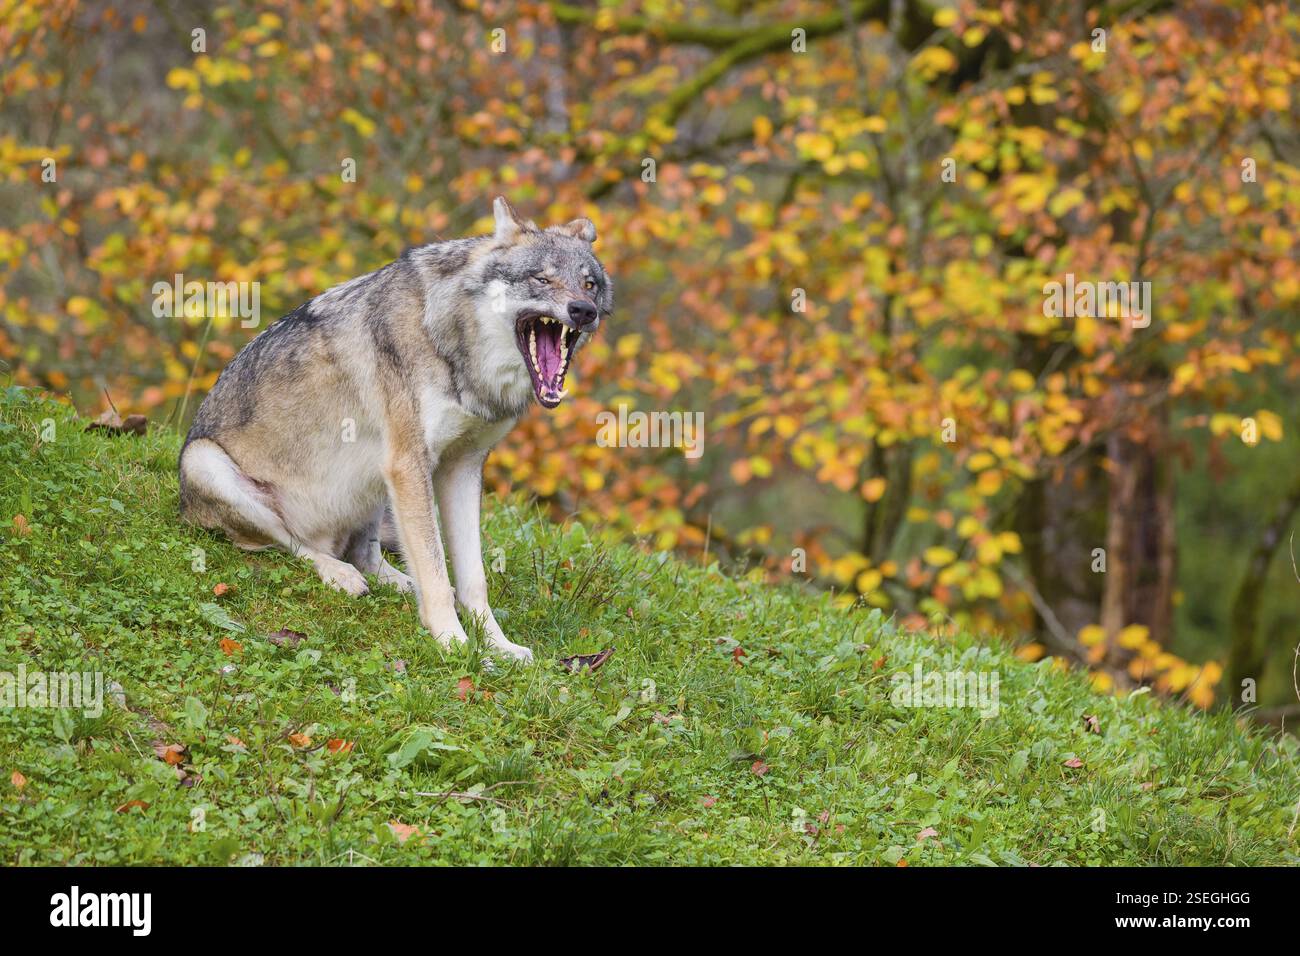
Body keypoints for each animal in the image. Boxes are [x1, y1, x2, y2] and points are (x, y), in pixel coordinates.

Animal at [178, 198, 612, 662]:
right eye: (541, 279)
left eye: (588, 284)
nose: (583, 311)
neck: (450, 338)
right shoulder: (409, 463)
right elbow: (436, 570)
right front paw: (453, 642)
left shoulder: (462, 466)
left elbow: (471, 577)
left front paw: (498, 646)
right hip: (206, 460)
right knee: (293, 544)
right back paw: (339, 574)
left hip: (374, 484)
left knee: (366, 555)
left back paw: (396, 582)